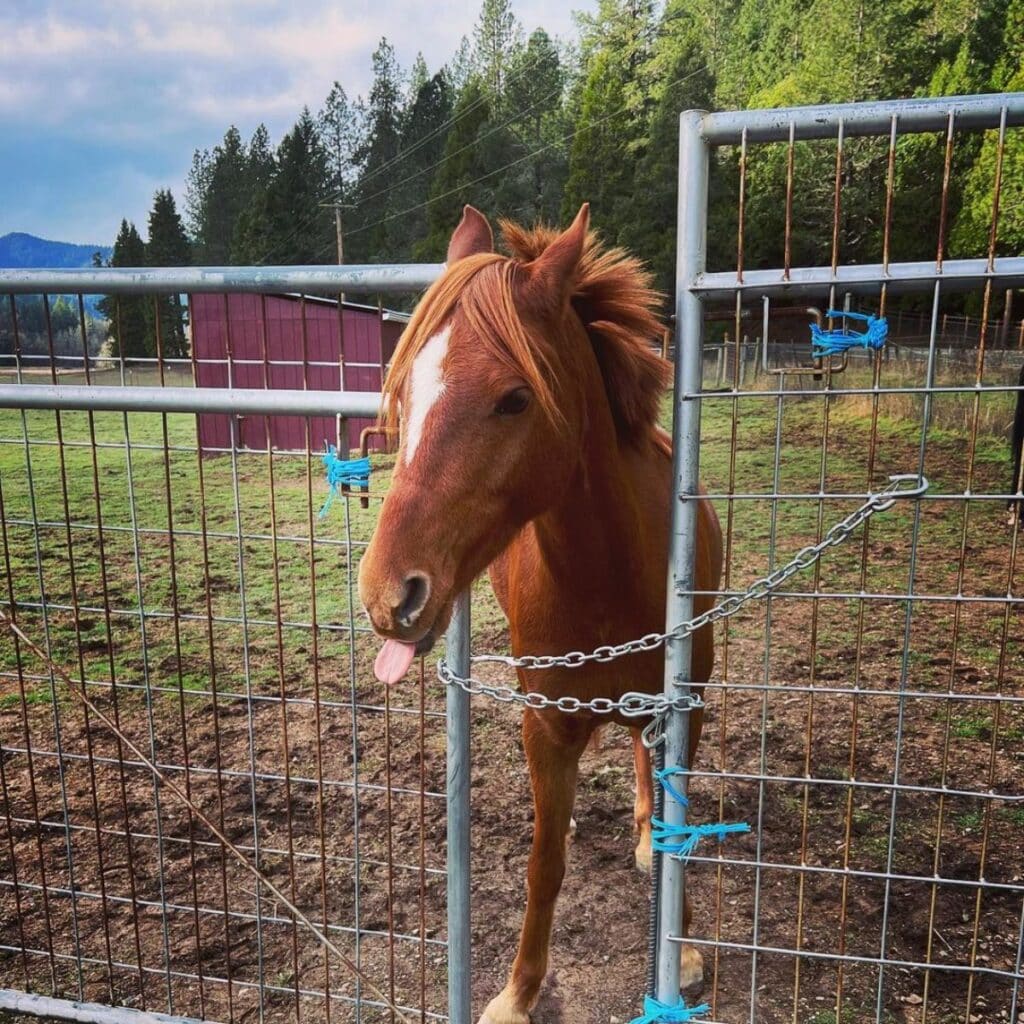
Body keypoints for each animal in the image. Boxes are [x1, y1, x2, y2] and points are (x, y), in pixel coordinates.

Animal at [358, 204, 723, 1024]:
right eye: (403, 394)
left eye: (514, 398)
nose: (388, 596)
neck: (613, 577)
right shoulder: (546, 725)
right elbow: (544, 862)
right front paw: (517, 992)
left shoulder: (685, 706)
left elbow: (678, 822)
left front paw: (682, 949)